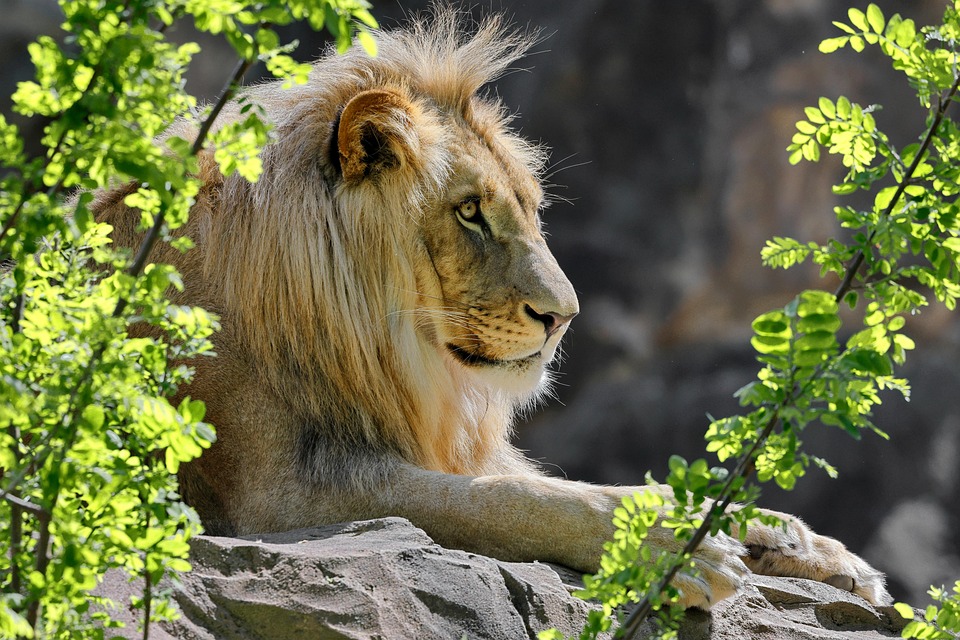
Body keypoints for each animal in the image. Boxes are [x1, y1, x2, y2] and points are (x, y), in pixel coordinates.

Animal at [89, 9, 891, 609]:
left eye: (531, 209)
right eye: (470, 212)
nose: (564, 316)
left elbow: (564, 482)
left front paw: (794, 539)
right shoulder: (273, 496)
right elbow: (500, 500)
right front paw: (668, 547)